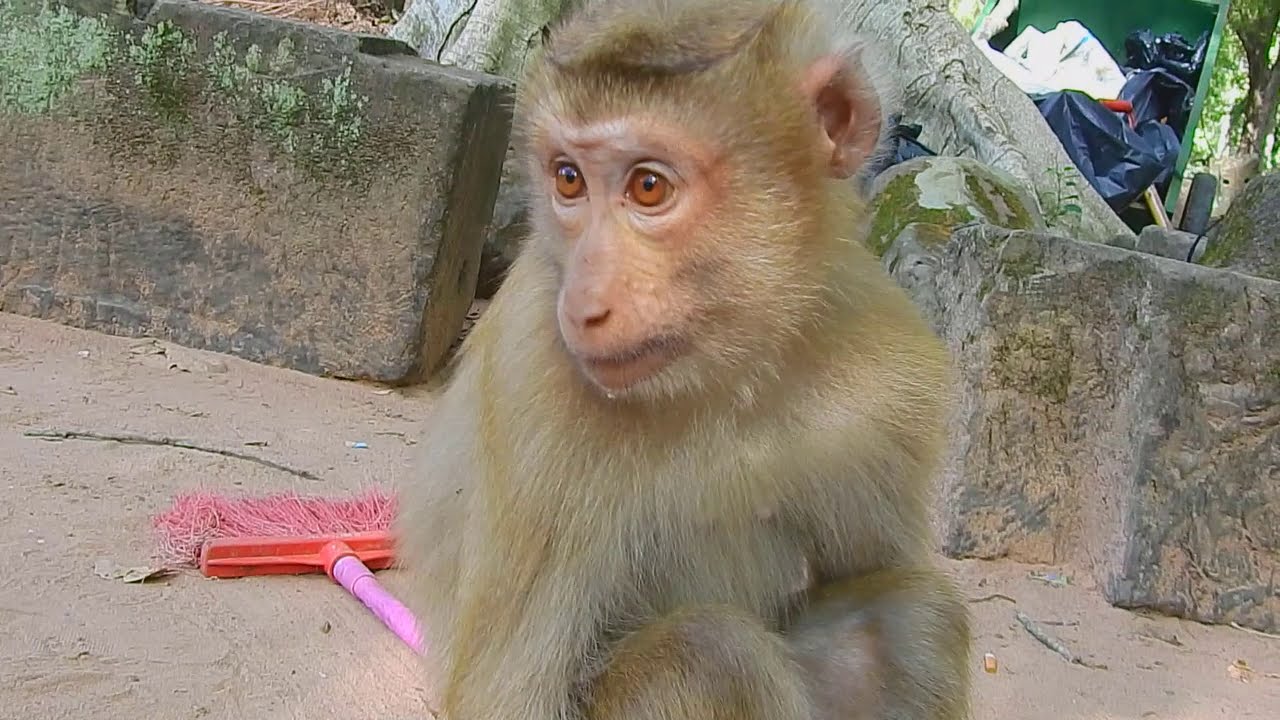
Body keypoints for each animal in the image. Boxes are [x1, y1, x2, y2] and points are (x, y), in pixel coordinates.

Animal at [394, 1, 972, 719]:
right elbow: (508, 695)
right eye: (568, 178)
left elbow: (878, 571)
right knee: (710, 654)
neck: (725, 374)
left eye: (648, 187)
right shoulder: (535, 374)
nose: (582, 303)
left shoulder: (887, 374)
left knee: (911, 617)